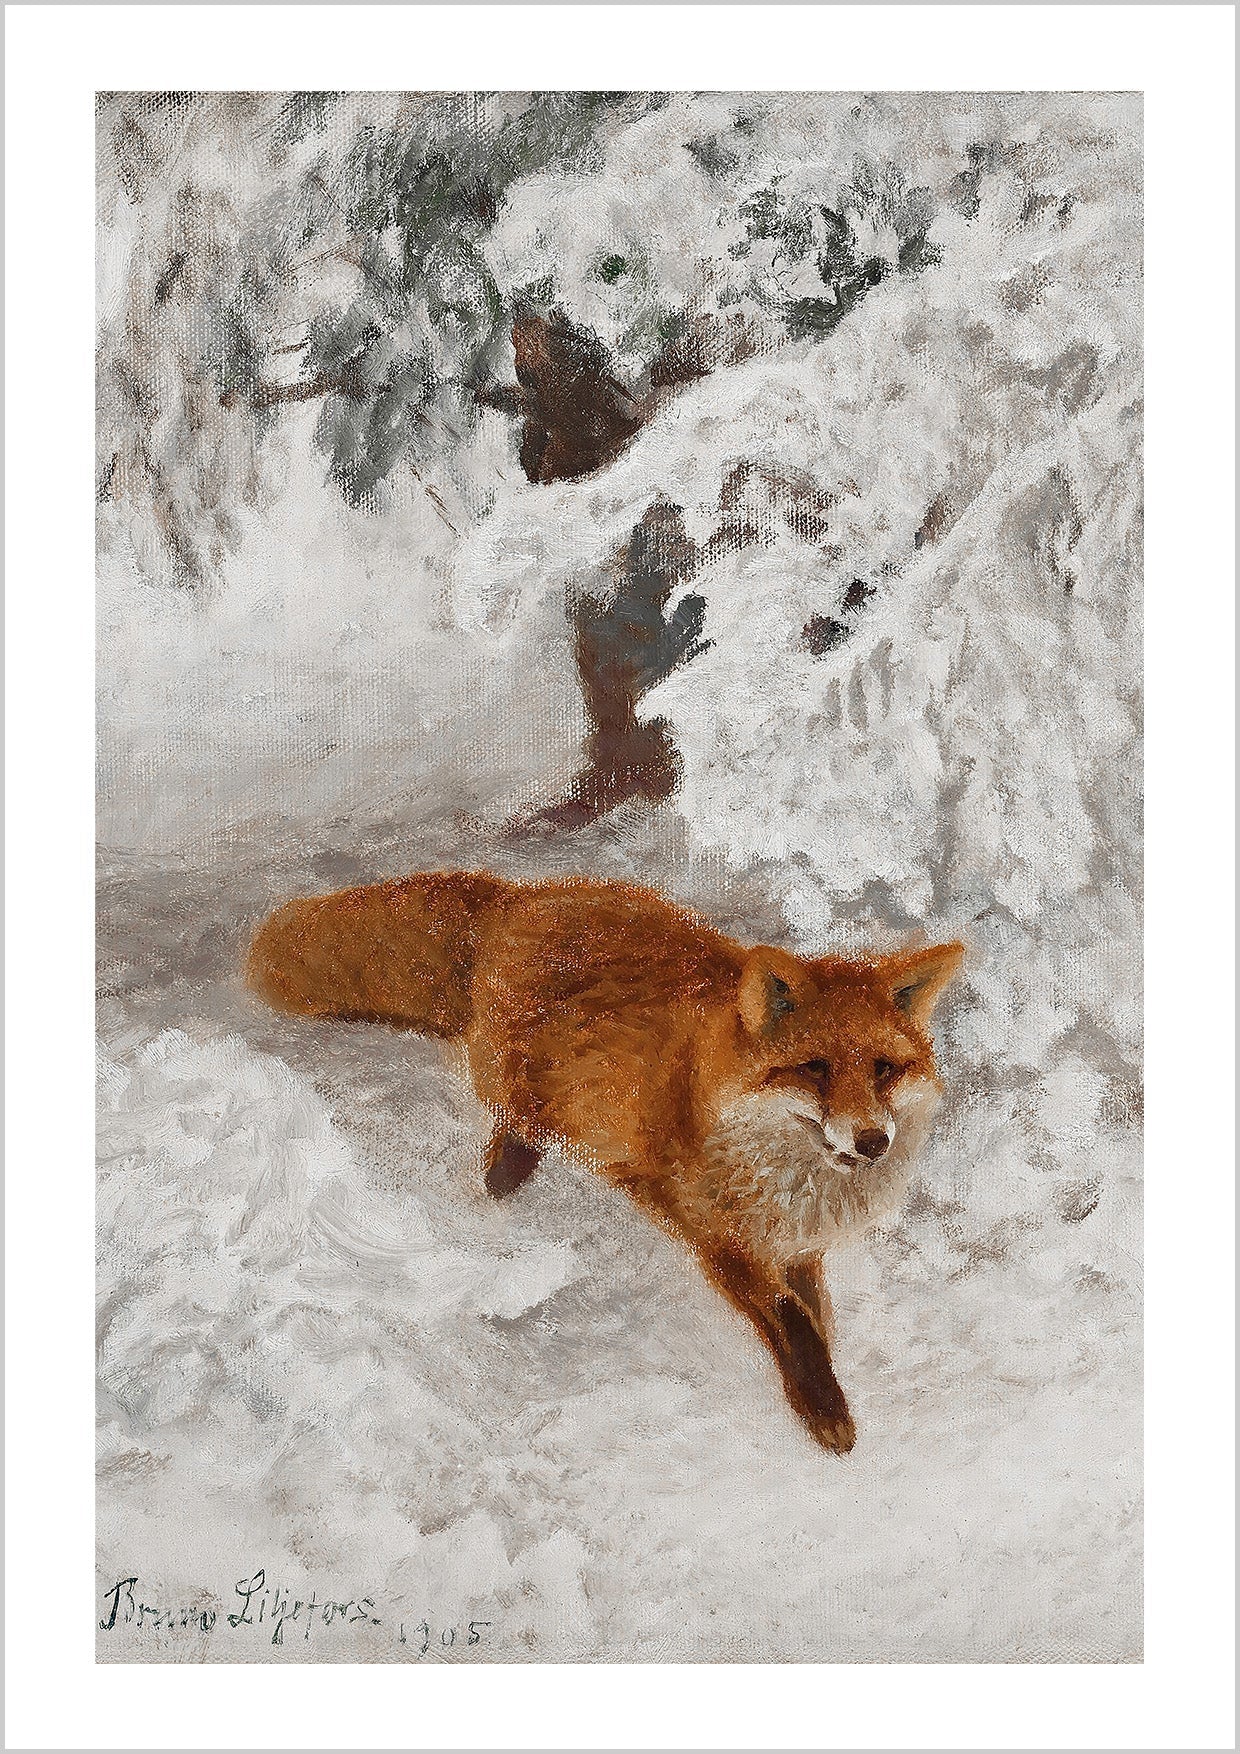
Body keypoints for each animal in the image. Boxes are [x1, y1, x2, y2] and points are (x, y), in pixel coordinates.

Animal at [248, 870, 962, 1453]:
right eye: (815, 1069)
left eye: (885, 1069)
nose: (872, 1141)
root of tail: (523, 897)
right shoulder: (719, 1238)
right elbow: (793, 1323)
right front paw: (823, 1411)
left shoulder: (794, 1243)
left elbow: (815, 1318)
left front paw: (824, 1385)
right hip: (519, 1077)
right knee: (514, 1121)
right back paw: (506, 1176)